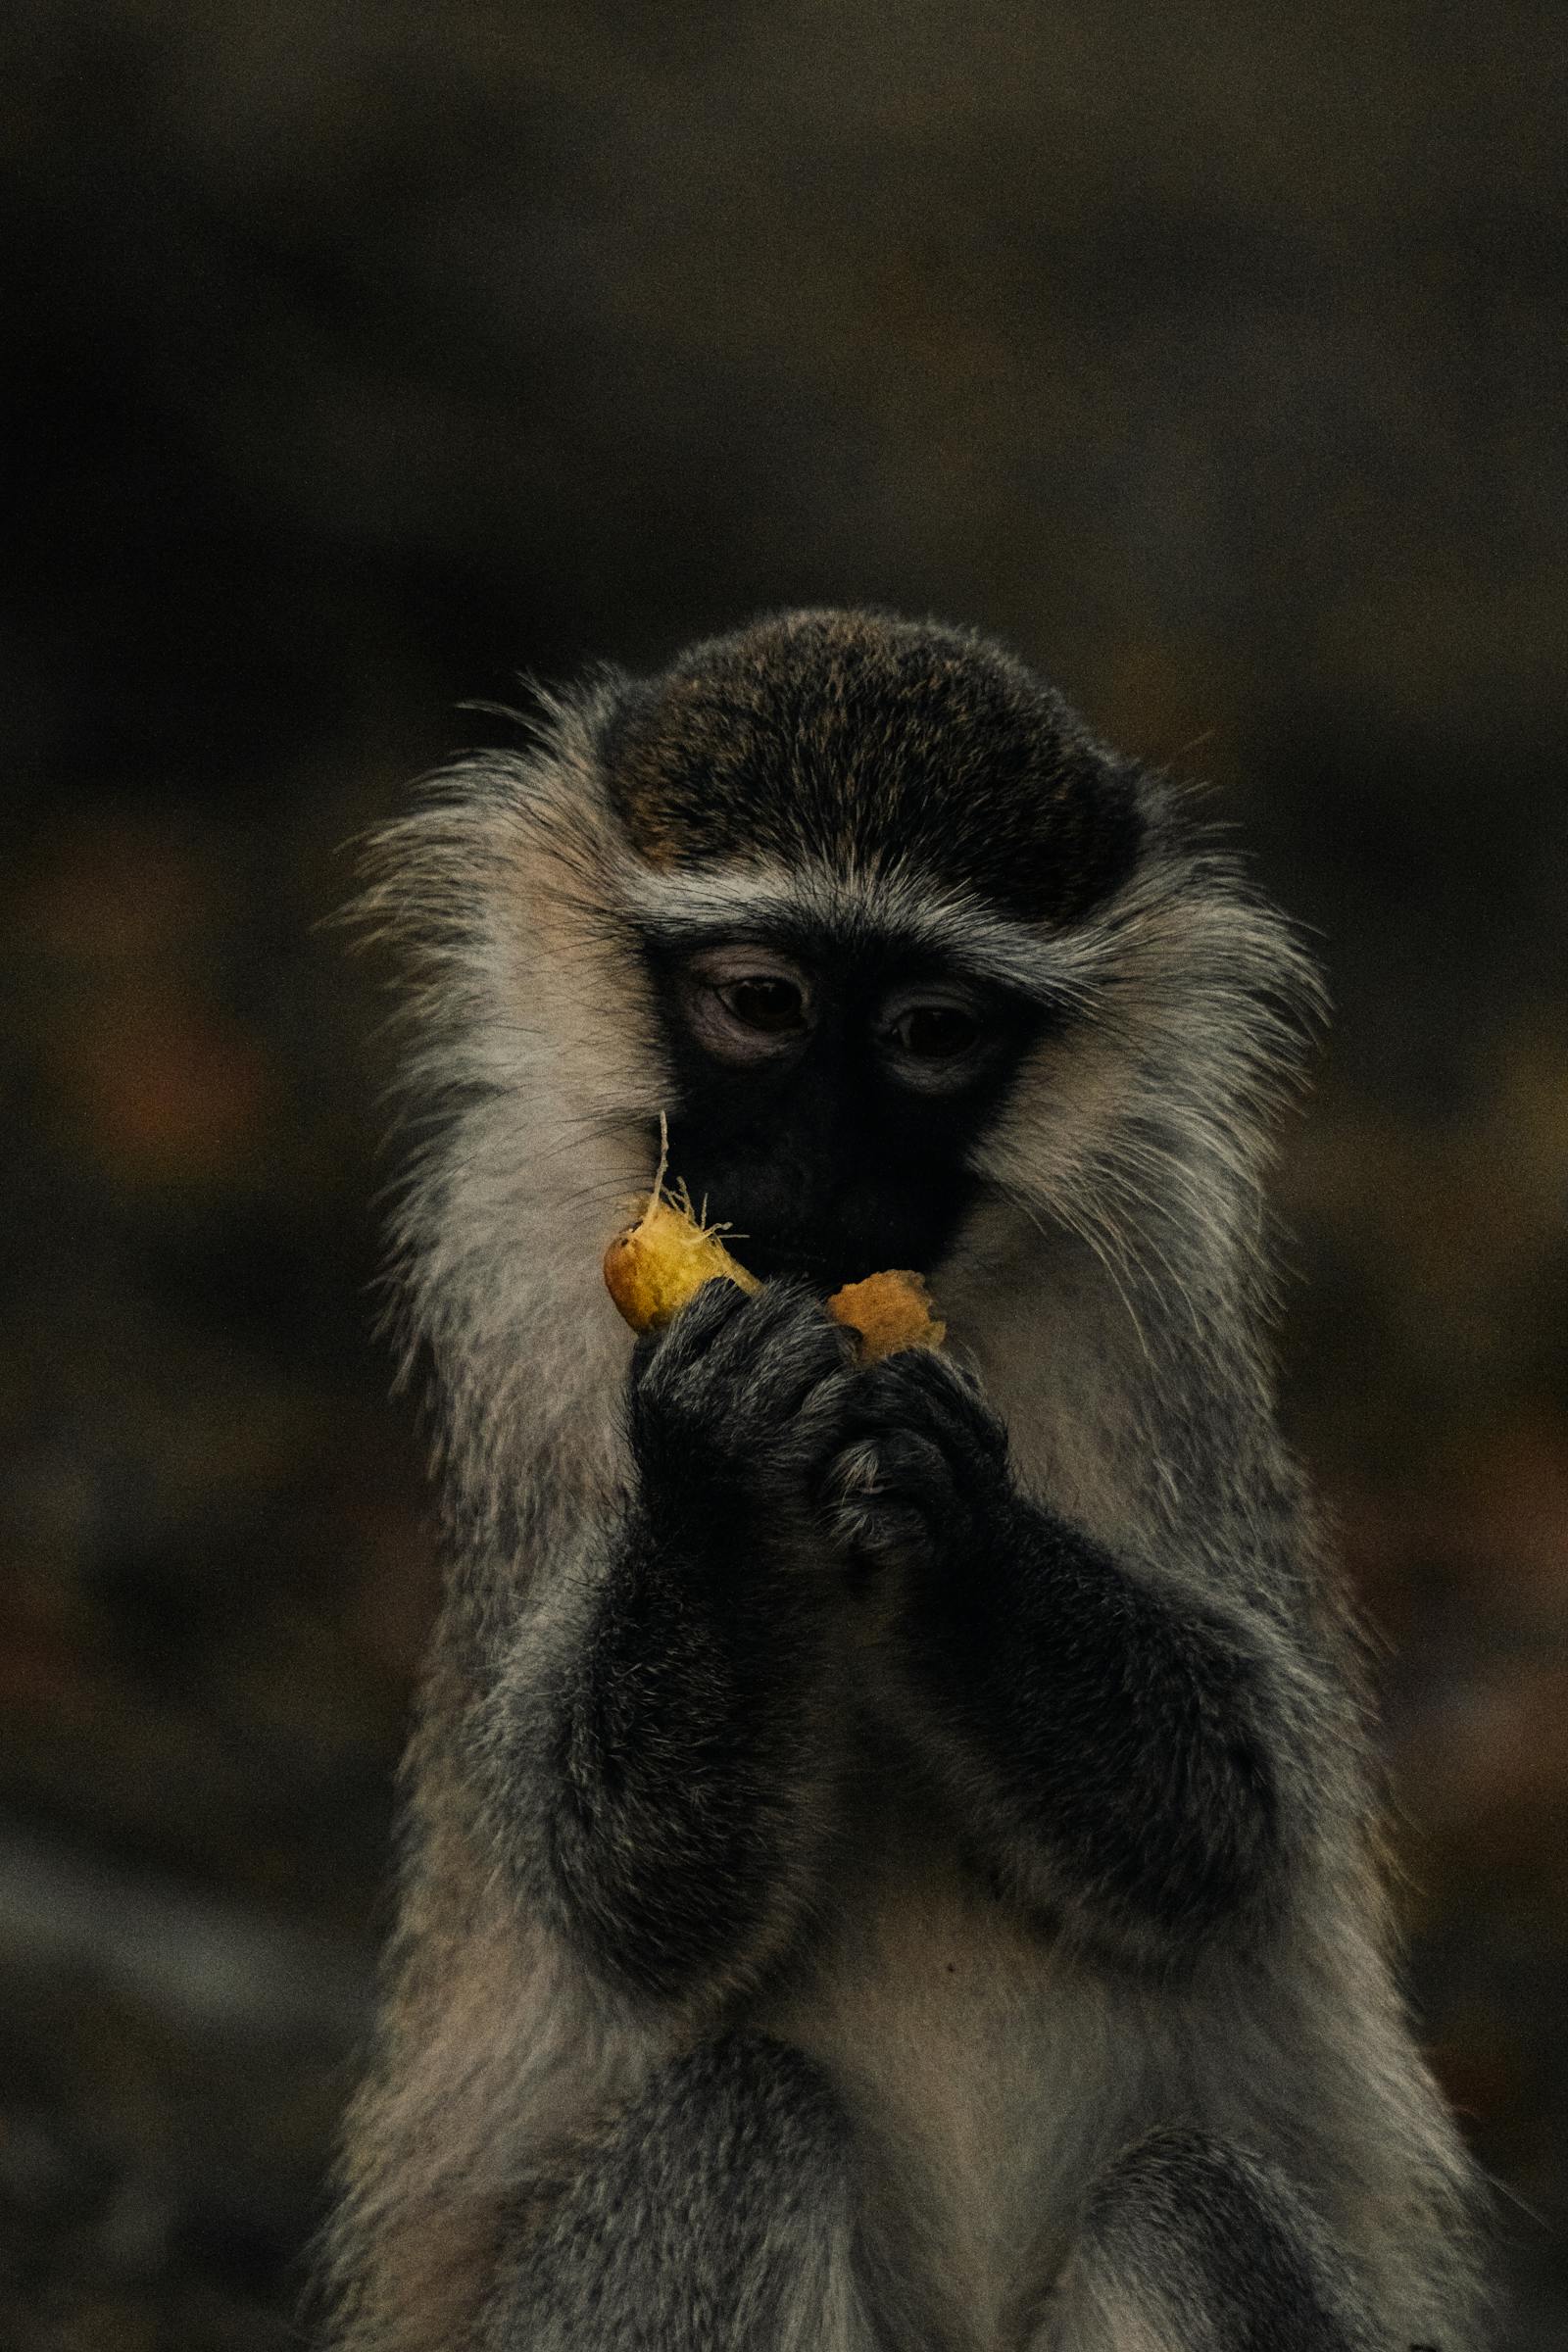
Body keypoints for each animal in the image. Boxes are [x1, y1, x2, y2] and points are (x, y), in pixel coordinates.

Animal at [325, 609, 1486, 2351]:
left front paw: (965, 1530)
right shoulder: (518, 1292)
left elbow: (1238, 1813)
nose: (816, 1175)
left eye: (932, 1034)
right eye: (761, 1001)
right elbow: (614, 1894)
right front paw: (724, 1493)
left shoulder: (1157, 1322)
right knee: (733, 2125)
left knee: (1191, 2204)